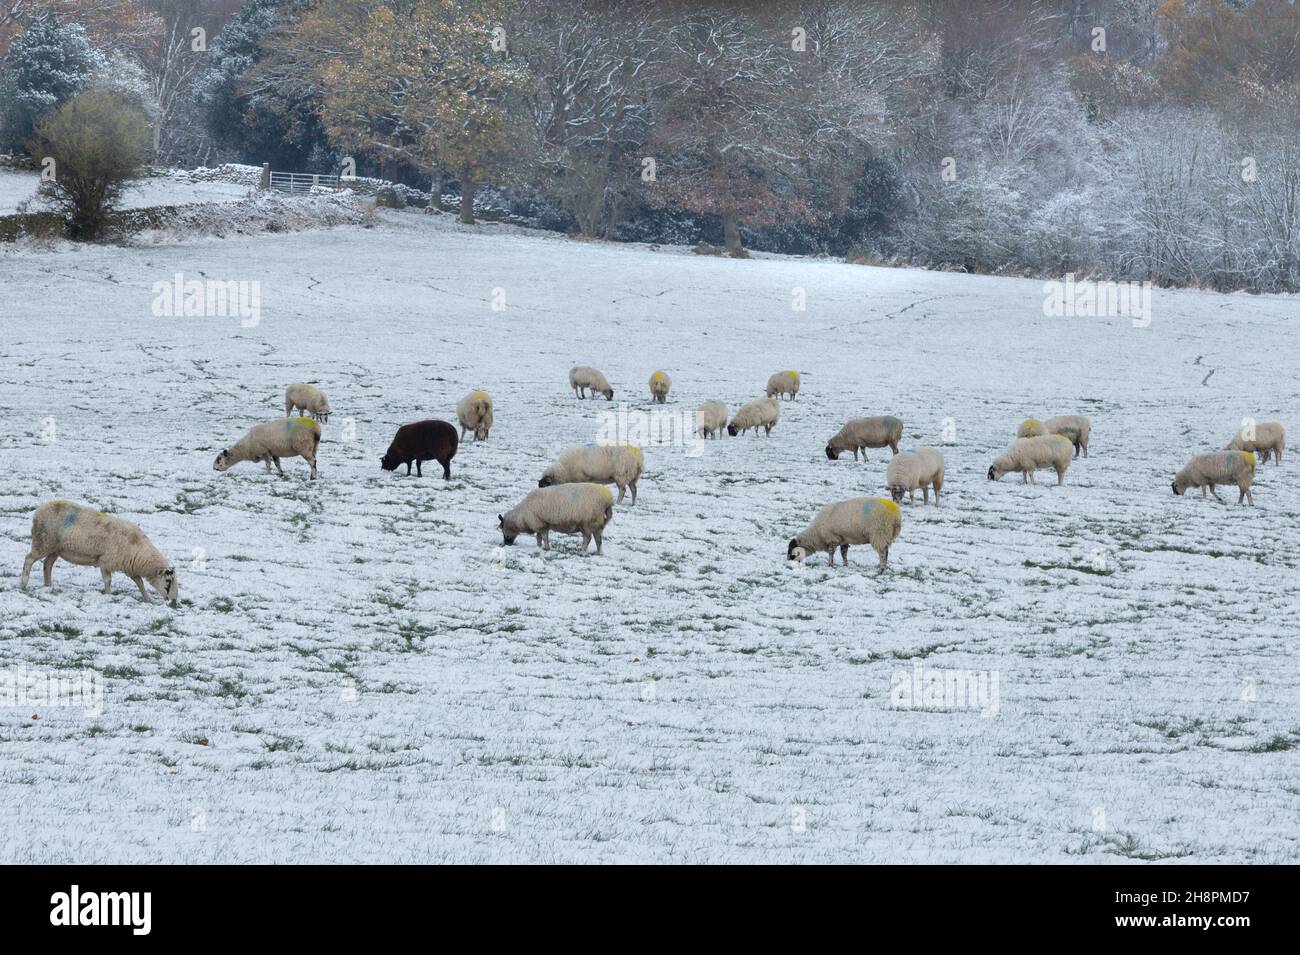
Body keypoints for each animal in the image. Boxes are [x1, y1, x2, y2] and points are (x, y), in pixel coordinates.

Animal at [20, 500, 178, 606]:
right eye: (168, 581)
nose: (174, 600)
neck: (138, 550)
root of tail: (38, 510)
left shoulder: (130, 566)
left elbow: (140, 583)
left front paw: (148, 599)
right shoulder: (106, 561)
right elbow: (108, 580)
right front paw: (108, 595)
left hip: (55, 548)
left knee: (47, 564)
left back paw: (48, 586)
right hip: (43, 542)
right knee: (29, 559)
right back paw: (23, 584)